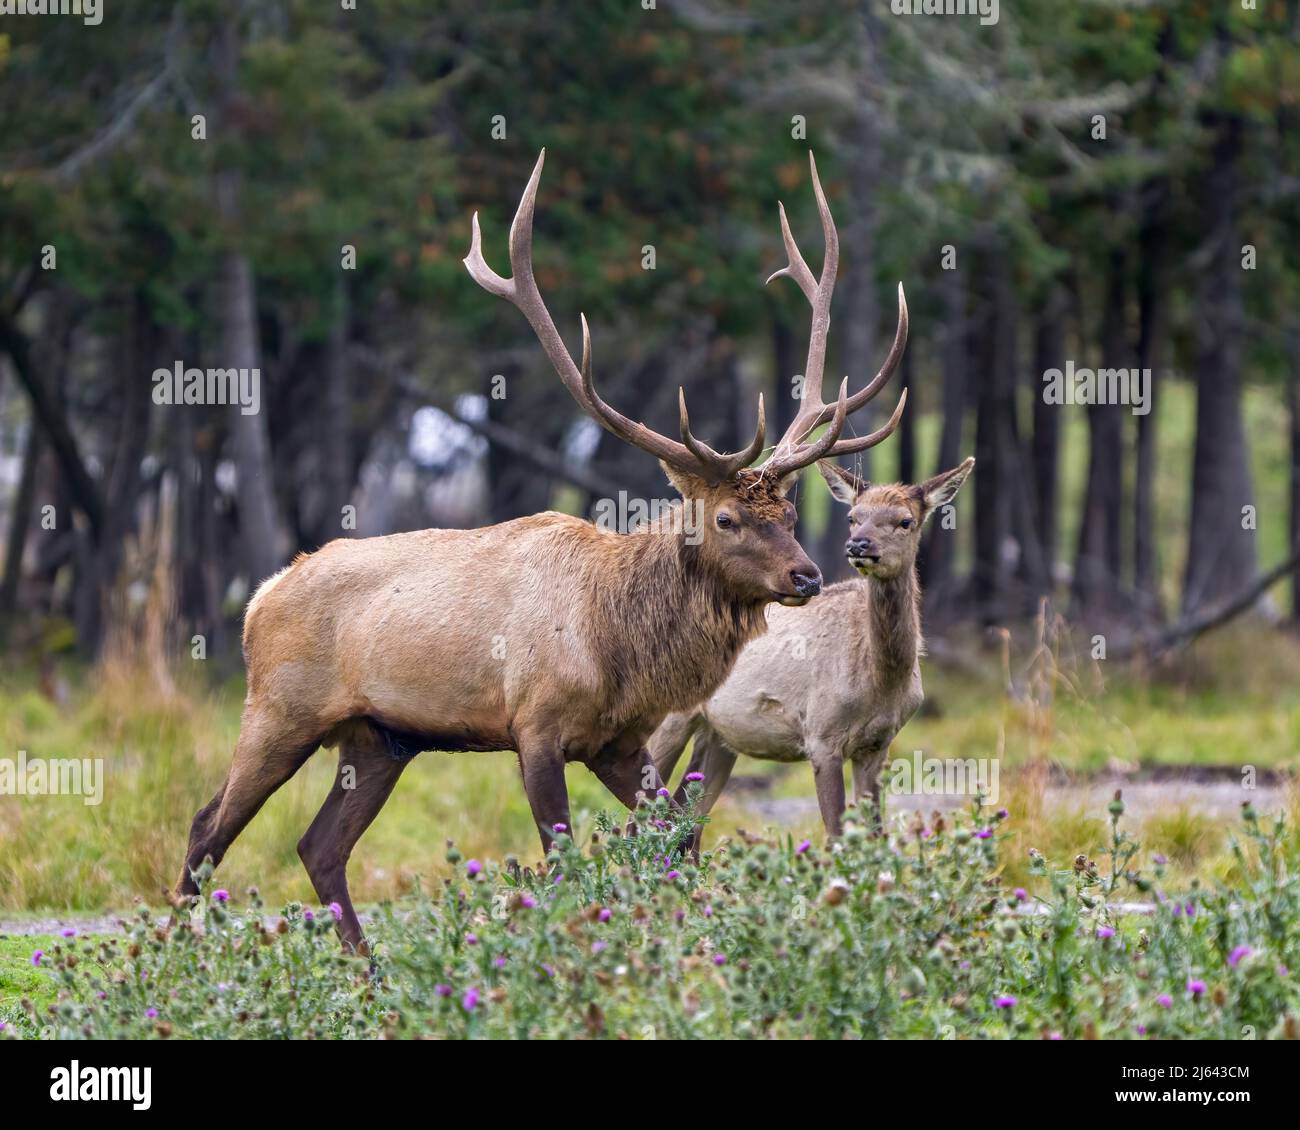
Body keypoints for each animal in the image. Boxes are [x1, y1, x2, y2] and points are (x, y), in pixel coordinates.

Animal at [172, 150, 908, 951]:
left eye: (786, 510)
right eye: (727, 519)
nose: (806, 576)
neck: (616, 643)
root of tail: (260, 596)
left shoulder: (618, 740)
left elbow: (680, 838)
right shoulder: (537, 725)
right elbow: (560, 861)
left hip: (380, 739)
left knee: (319, 846)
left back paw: (368, 971)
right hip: (278, 709)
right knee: (206, 829)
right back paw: (173, 956)